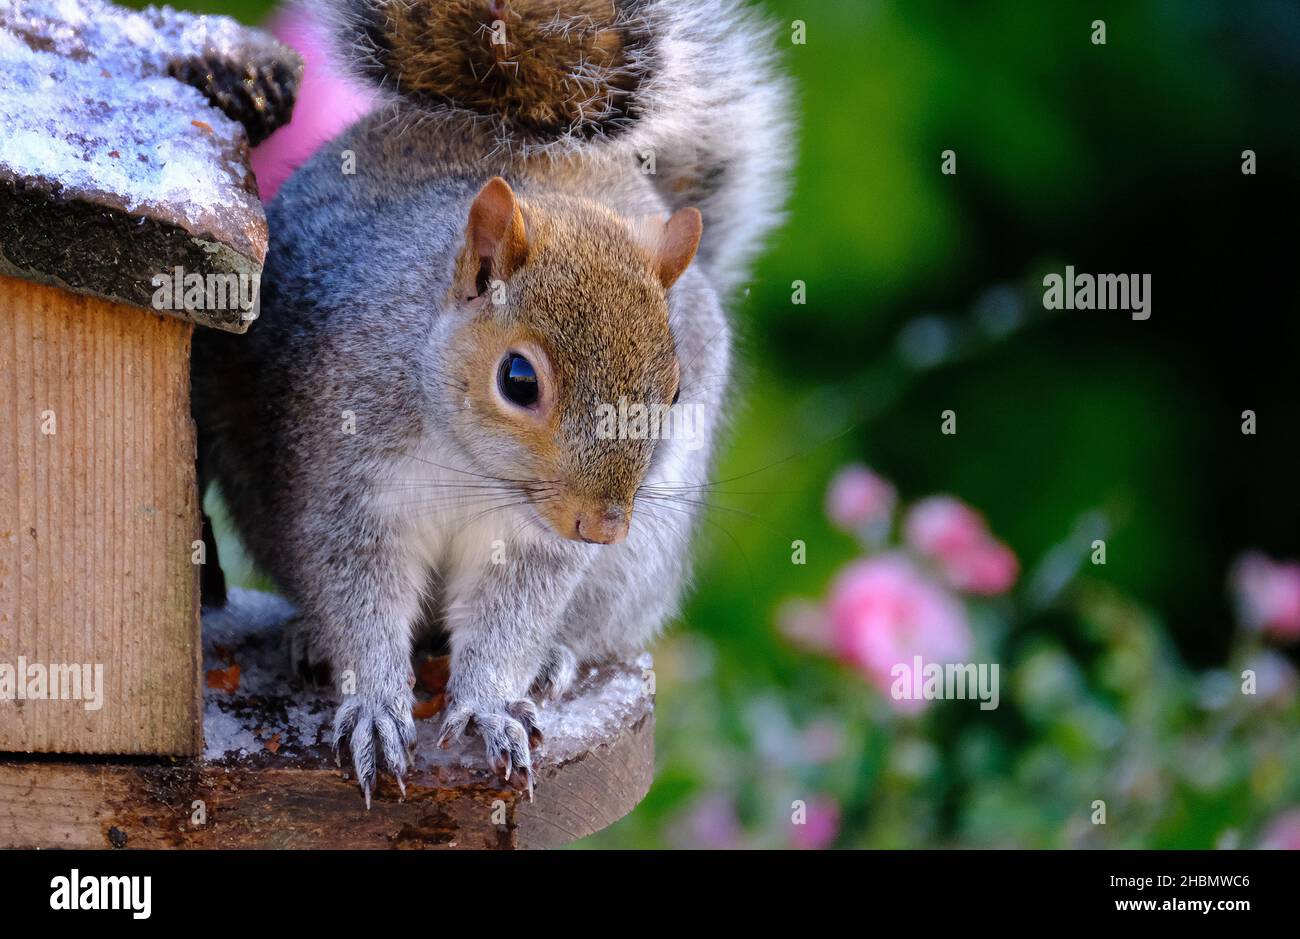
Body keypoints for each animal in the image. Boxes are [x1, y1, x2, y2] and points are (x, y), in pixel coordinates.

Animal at [192, 0, 792, 805]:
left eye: (674, 391)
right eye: (518, 380)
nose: (603, 526)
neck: (470, 466)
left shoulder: (537, 543)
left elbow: (510, 617)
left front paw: (487, 706)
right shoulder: (345, 490)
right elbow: (358, 597)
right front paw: (374, 704)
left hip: (639, 564)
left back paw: (553, 659)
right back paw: (312, 639)